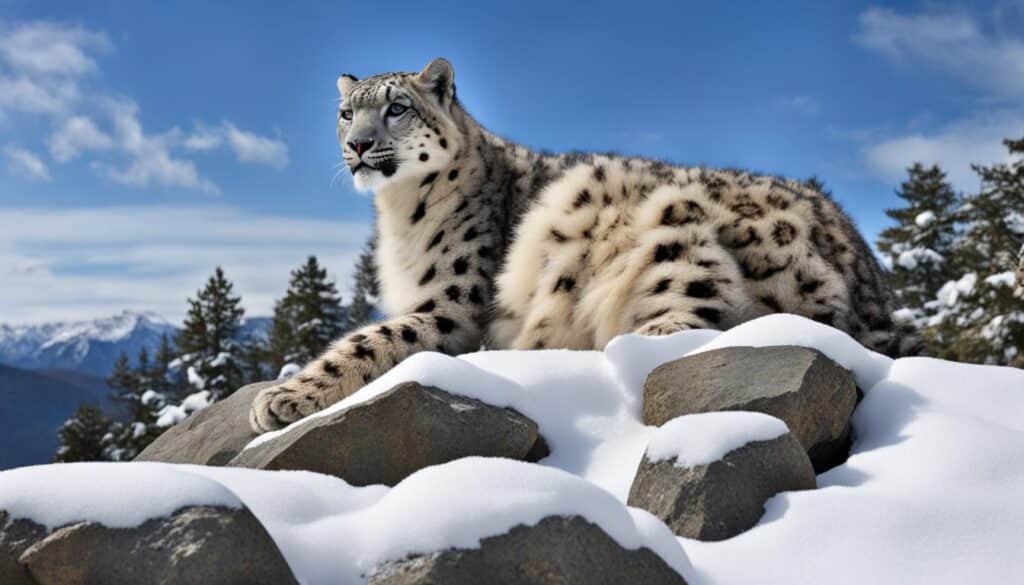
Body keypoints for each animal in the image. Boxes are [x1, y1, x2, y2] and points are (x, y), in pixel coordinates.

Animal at [250, 58, 917, 433]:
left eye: (396, 107)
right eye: (345, 112)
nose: (359, 146)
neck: (399, 216)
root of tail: (872, 281)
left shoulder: (451, 303)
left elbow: (369, 341)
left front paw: (279, 397)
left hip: (674, 232)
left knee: (689, 328)